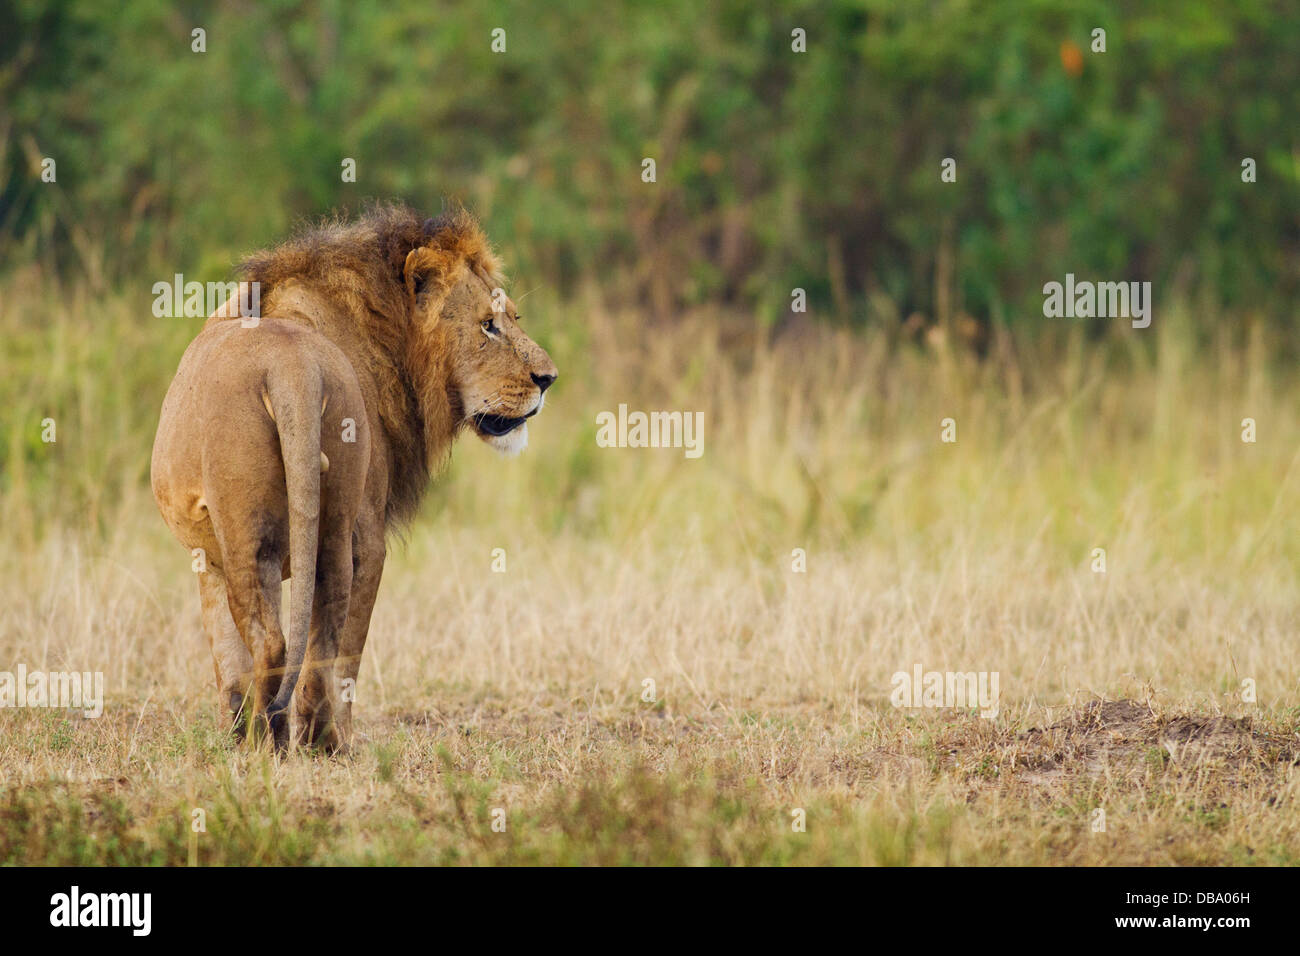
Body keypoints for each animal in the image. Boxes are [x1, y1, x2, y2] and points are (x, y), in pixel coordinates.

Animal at [150, 203, 557, 751]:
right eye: (488, 325)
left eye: (512, 319)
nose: (548, 379)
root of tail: (291, 366)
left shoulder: (208, 557)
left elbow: (229, 654)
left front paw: (234, 734)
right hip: (336, 522)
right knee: (317, 642)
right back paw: (315, 740)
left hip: (260, 530)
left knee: (284, 640)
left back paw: (273, 736)